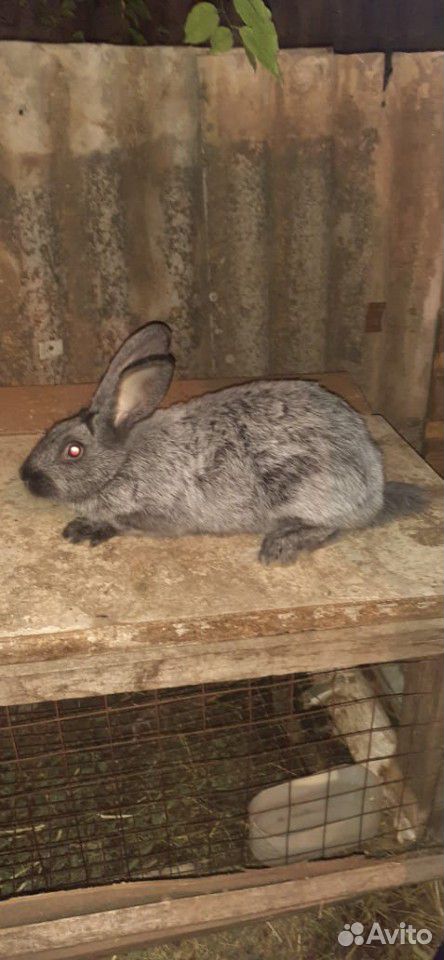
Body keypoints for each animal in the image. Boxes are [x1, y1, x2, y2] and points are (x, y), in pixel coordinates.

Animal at [19, 321, 426, 565]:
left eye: (73, 451)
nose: (26, 476)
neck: (121, 462)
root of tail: (374, 483)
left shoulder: (158, 512)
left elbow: (122, 523)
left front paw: (85, 529)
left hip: (307, 491)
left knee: (333, 526)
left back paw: (279, 546)